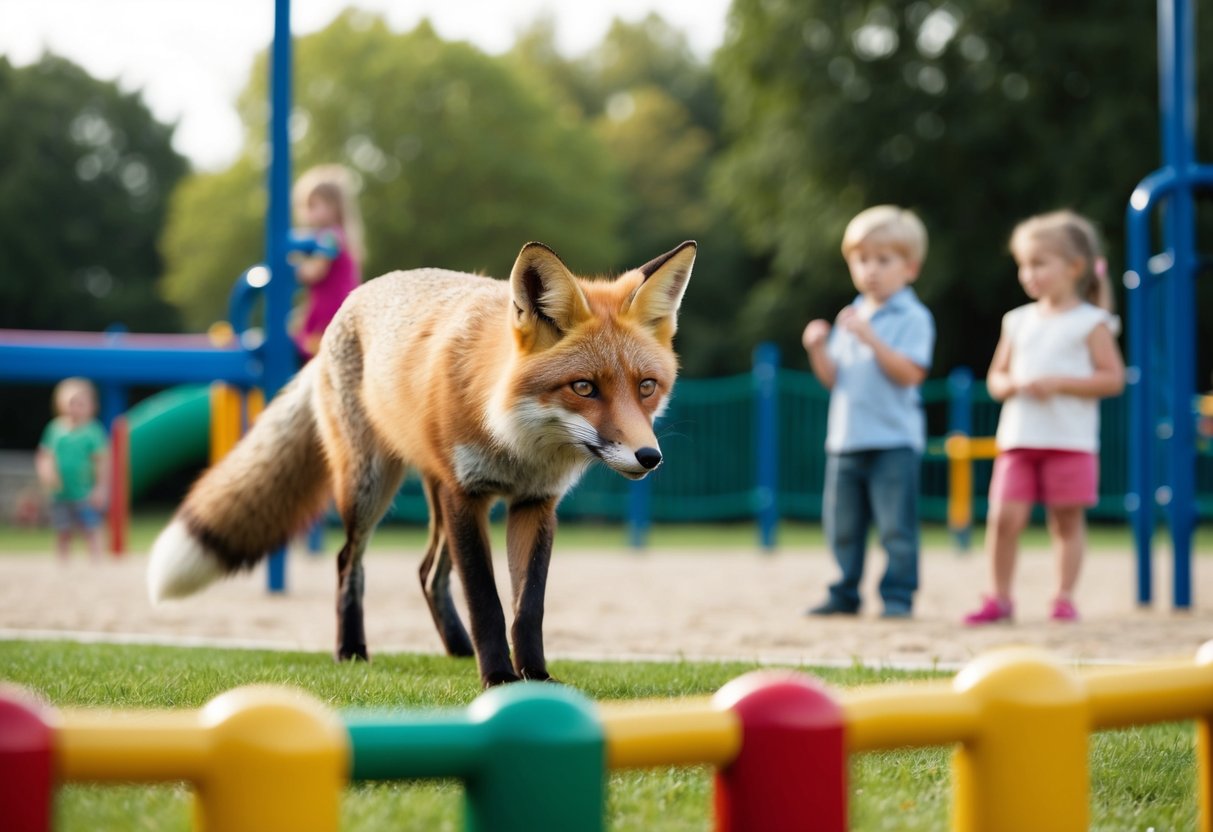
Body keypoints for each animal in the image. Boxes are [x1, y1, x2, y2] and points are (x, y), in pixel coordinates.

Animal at [147, 240, 695, 687]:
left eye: (646, 387)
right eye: (584, 387)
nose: (650, 457)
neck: (517, 444)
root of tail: (353, 300)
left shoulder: (534, 504)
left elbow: (527, 608)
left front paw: (536, 678)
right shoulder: (467, 493)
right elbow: (486, 600)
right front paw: (499, 679)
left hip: (439, 498)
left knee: (428, 572)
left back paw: (458, 649)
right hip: (373, 485)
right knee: (349, 562)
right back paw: (352, 650)